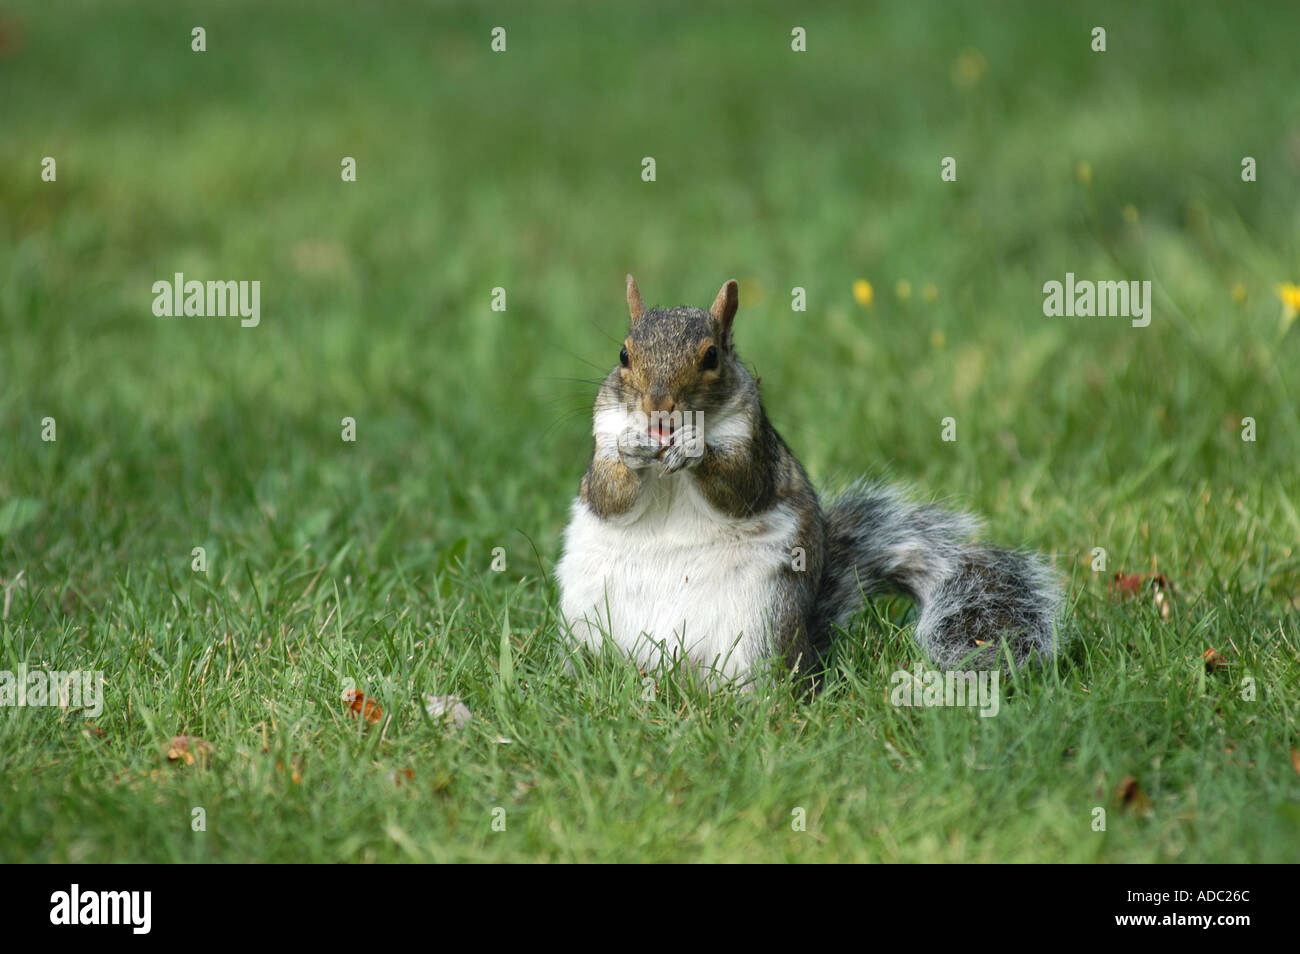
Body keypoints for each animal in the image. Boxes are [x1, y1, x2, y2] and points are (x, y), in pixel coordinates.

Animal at [555, 276, 1066, 685]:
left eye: (712, 356)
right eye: (624, 354)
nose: (658, 410)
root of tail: (671, 670)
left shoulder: (754, 446)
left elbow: (740, 488)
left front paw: (695, 448)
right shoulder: (605, 431)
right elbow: (609, 494)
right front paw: (633, 449)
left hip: (761, 625)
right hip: (586, 619)